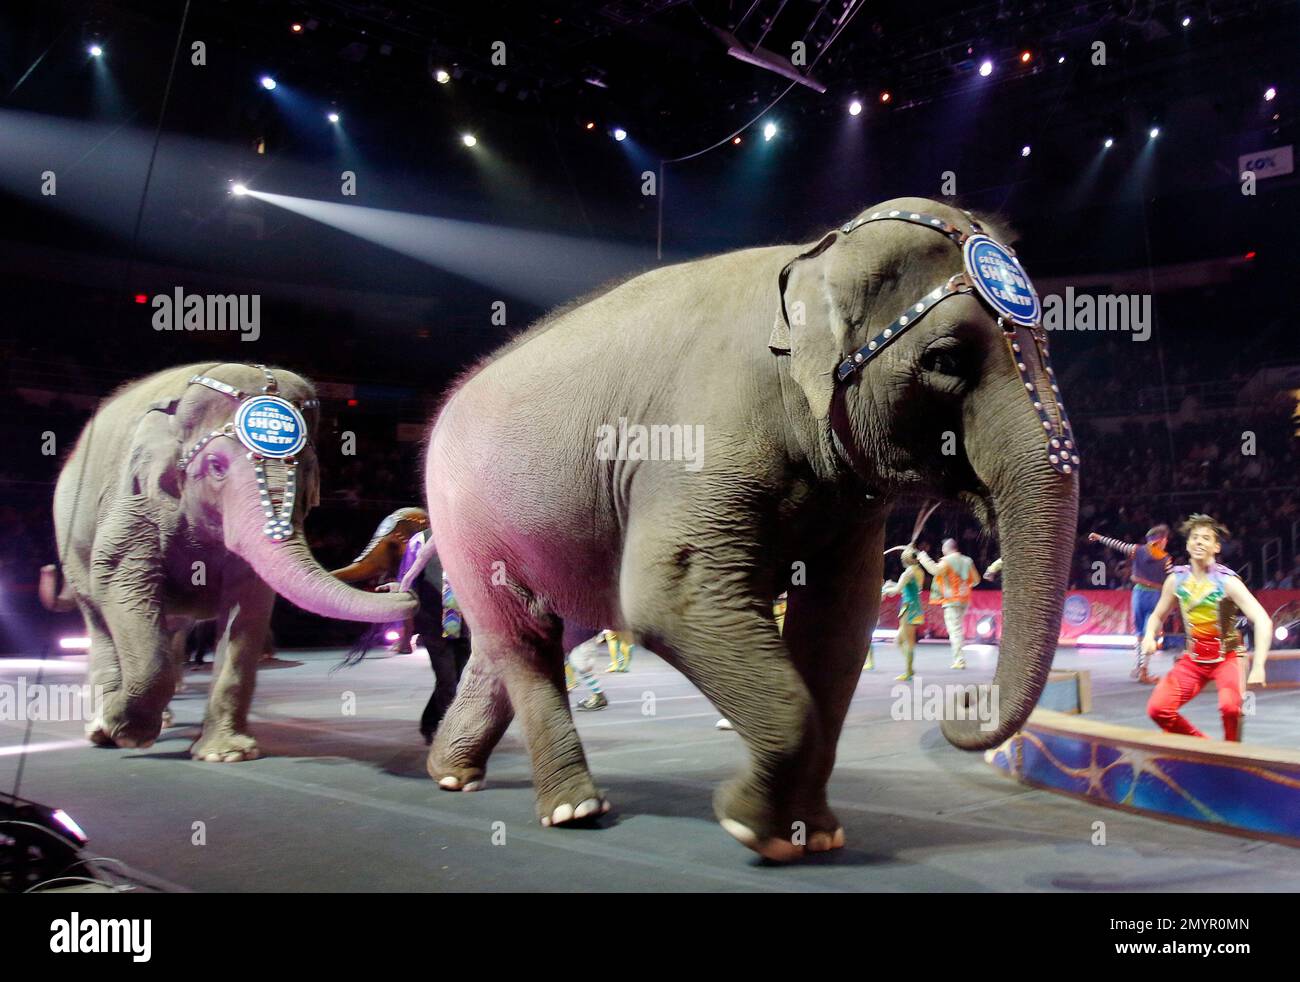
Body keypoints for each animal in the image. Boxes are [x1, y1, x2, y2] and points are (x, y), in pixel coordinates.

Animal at [43, 363, 418, 760]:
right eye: (215, 466)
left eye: (305, 471)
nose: (397, 588)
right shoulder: (133, 500)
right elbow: (121, 579)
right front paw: (124, 729)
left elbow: (248, 604)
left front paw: (226, 754)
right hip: (71, 538)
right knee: (98, 617)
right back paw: (104, 725)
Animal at [405, 196, 1079, 860]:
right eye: (946, 360)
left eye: (1047, 350)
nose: (960, 703)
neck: (812, 259)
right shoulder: (696, 437)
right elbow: (667, 598)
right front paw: (748, 823)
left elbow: (839, 620)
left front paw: (813, 834)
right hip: (467, 519)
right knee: (524, 637)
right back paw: (574, 809)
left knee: (519, 638)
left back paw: (452, 772)